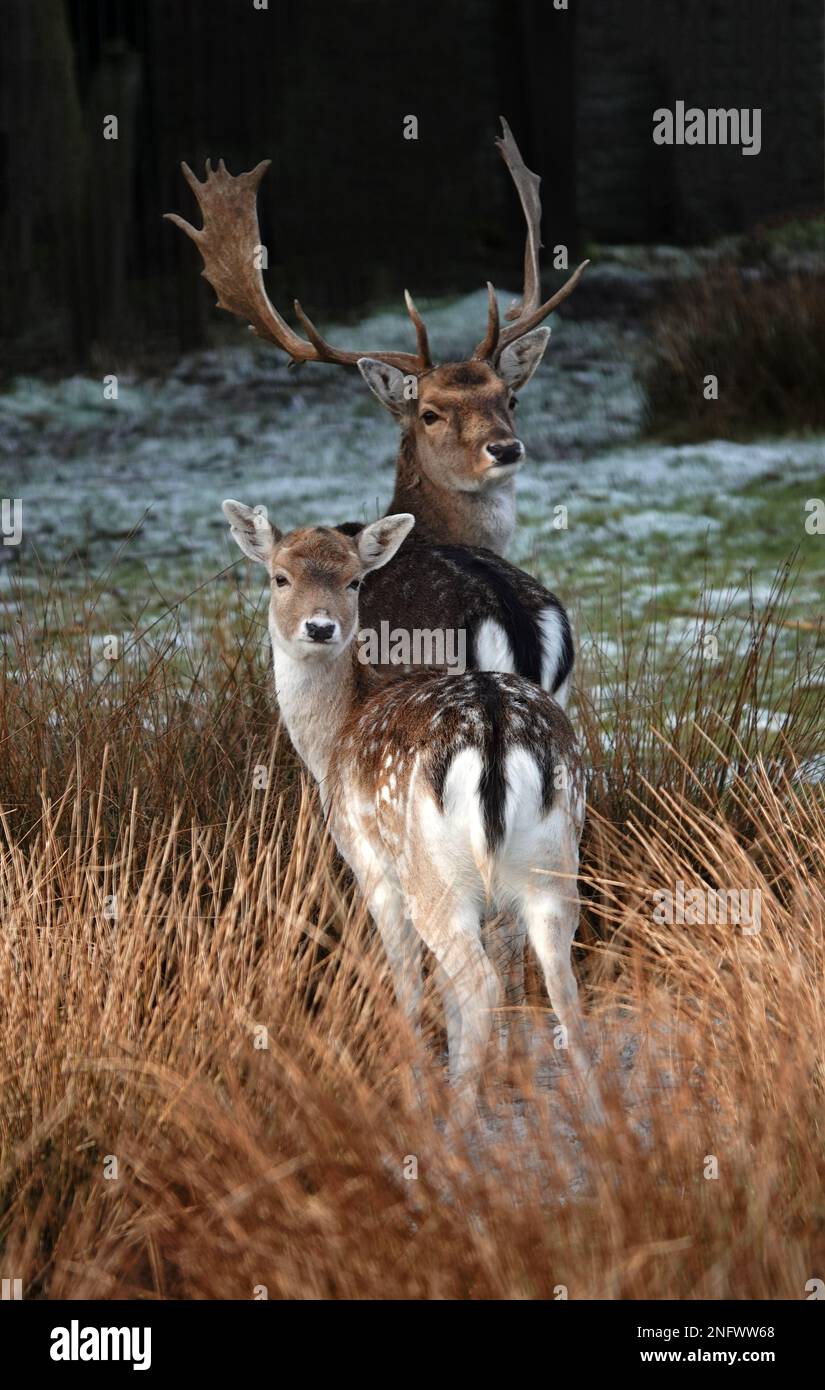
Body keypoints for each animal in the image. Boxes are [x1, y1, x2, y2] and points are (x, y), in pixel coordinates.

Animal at [221, 500, 603, 1122]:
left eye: (354, 581)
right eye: (280, 577)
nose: (320, 627)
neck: (332, 736)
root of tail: (495, 735)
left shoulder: (370, 864)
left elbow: (408, 978)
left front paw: (416, 1083)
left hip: (434, 876)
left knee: (478, 982)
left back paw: (457, 1116)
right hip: (551, 863)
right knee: (558, 982)